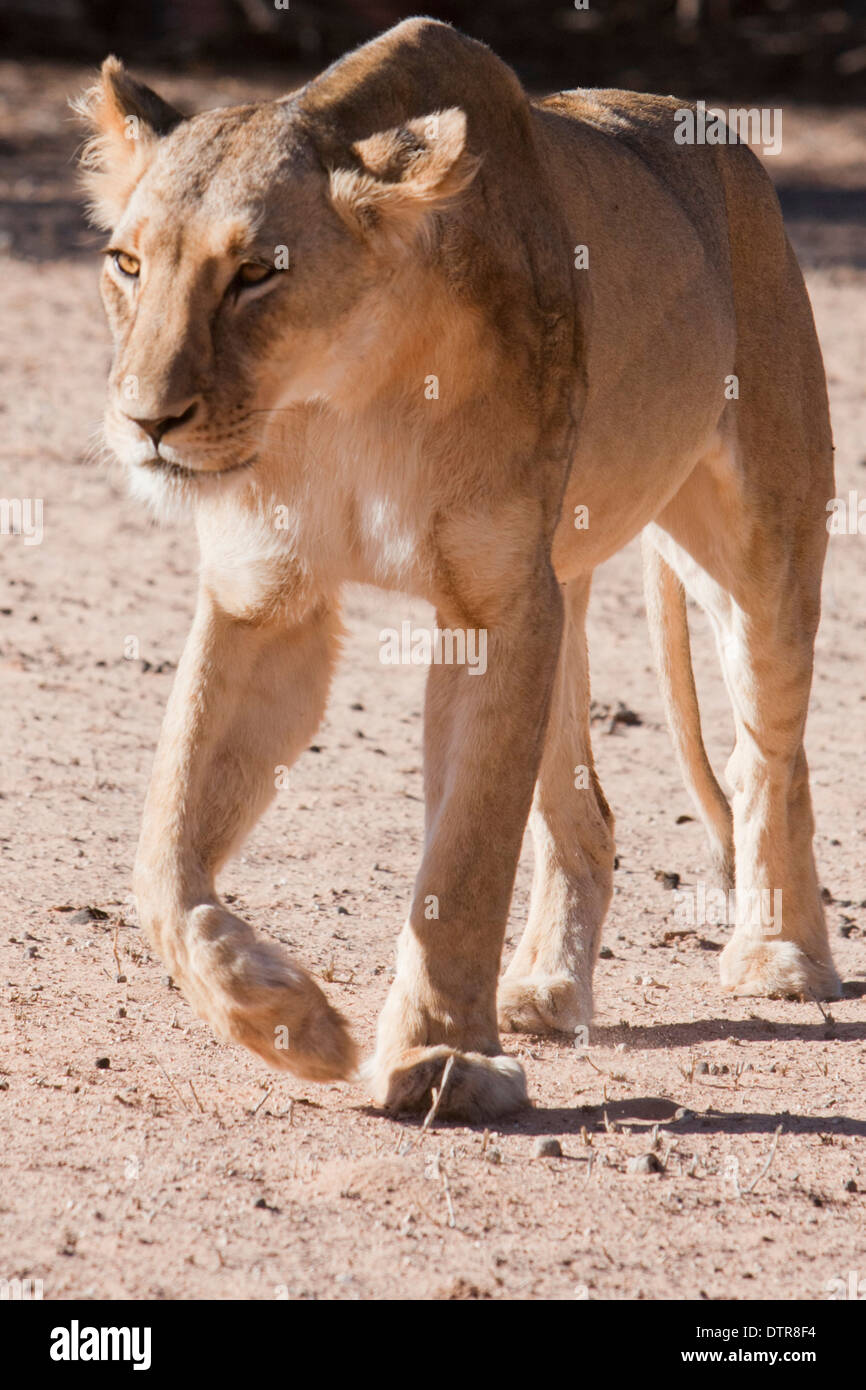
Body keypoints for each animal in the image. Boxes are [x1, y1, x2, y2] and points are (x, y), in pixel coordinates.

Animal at [74, 17, 839, 1121]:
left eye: (257, 272)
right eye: (127, 264)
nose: (145, 420)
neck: (341, 394)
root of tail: (714, 137)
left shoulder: (494, 607)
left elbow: (466, 854)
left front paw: (444, 1059)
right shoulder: (265, 594)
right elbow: (164, 852)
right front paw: (288, 1017)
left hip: (753, 550)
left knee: (768, 755)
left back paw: (782, 956)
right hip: (564, 586)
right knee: (587, 813)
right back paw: (544, 988)